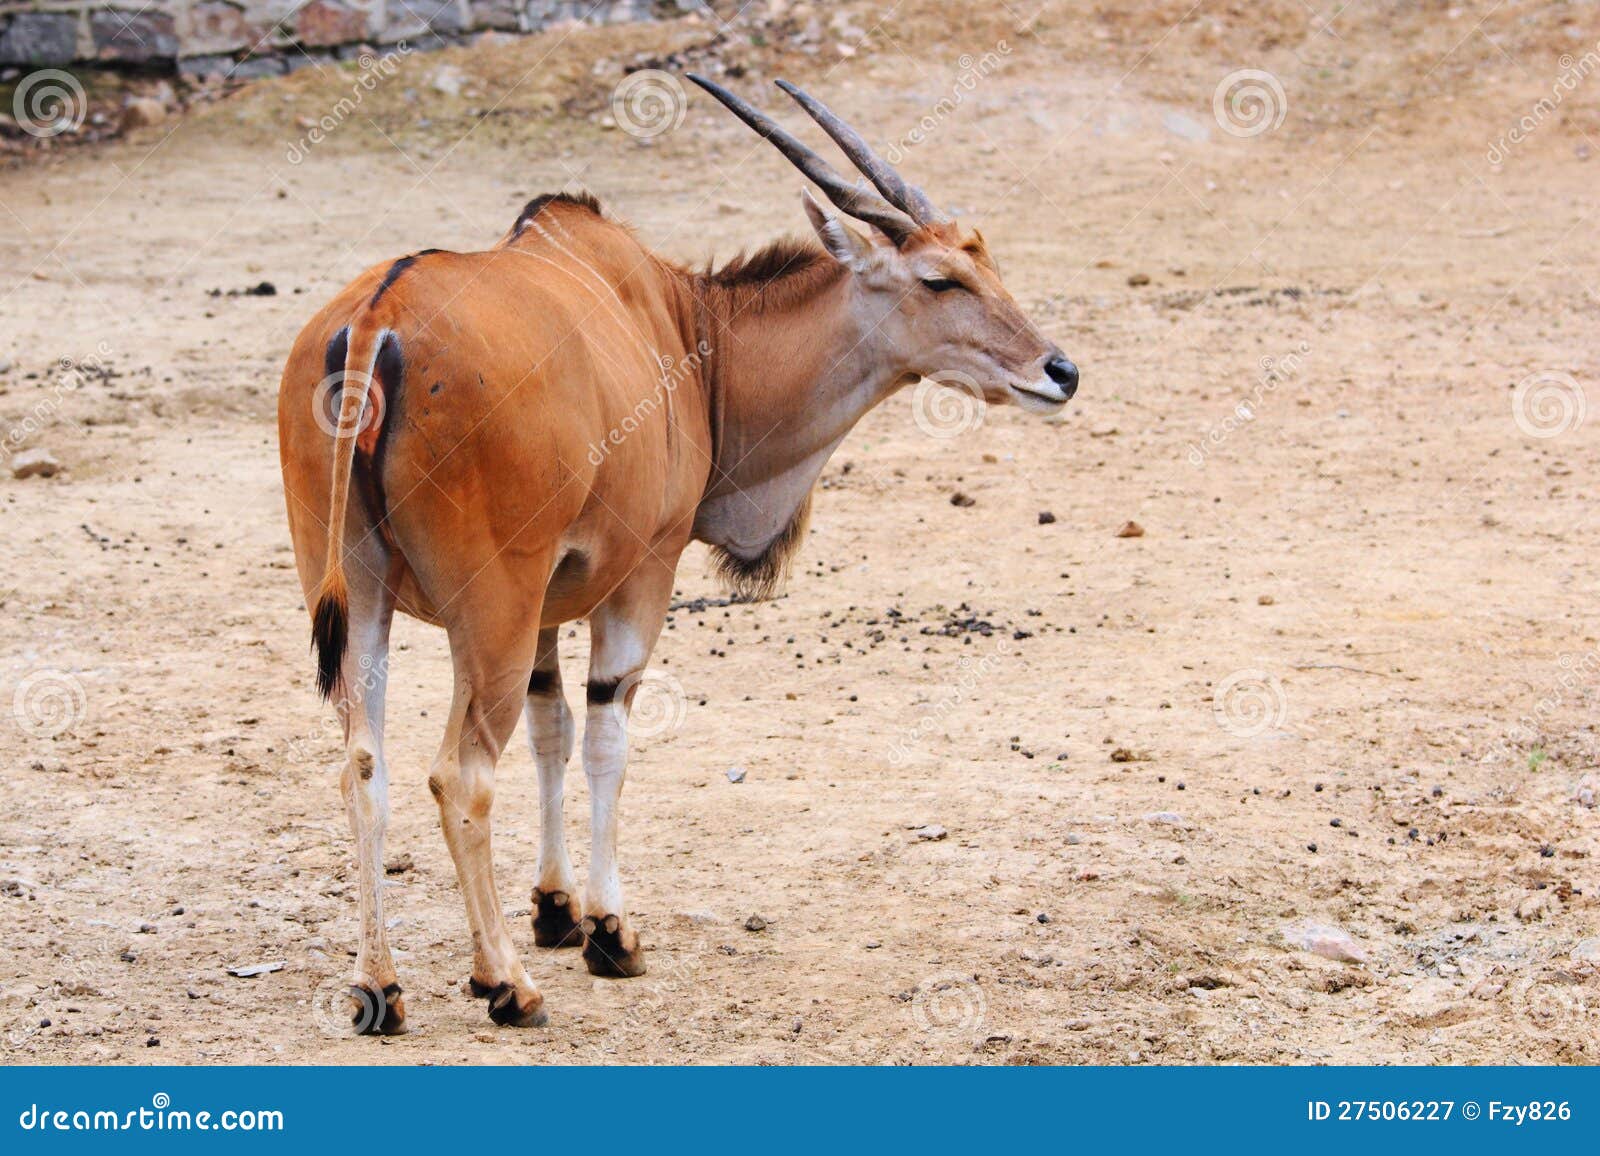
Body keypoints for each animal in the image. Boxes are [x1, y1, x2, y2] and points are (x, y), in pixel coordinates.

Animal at [277, 75, 1078, 1034]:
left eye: (984, 259)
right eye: (939, 277)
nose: (1059, 371)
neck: (690, 332)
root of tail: (377, 322)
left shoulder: (547, 607)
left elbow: (551, 729)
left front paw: (556, 909)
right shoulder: (638, 577)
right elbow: (604, 738)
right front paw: (608, 933)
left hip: (365, 600)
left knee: (365, 765)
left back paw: (379, 986)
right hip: (488, 612)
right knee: (459, 776)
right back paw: (507, 983)